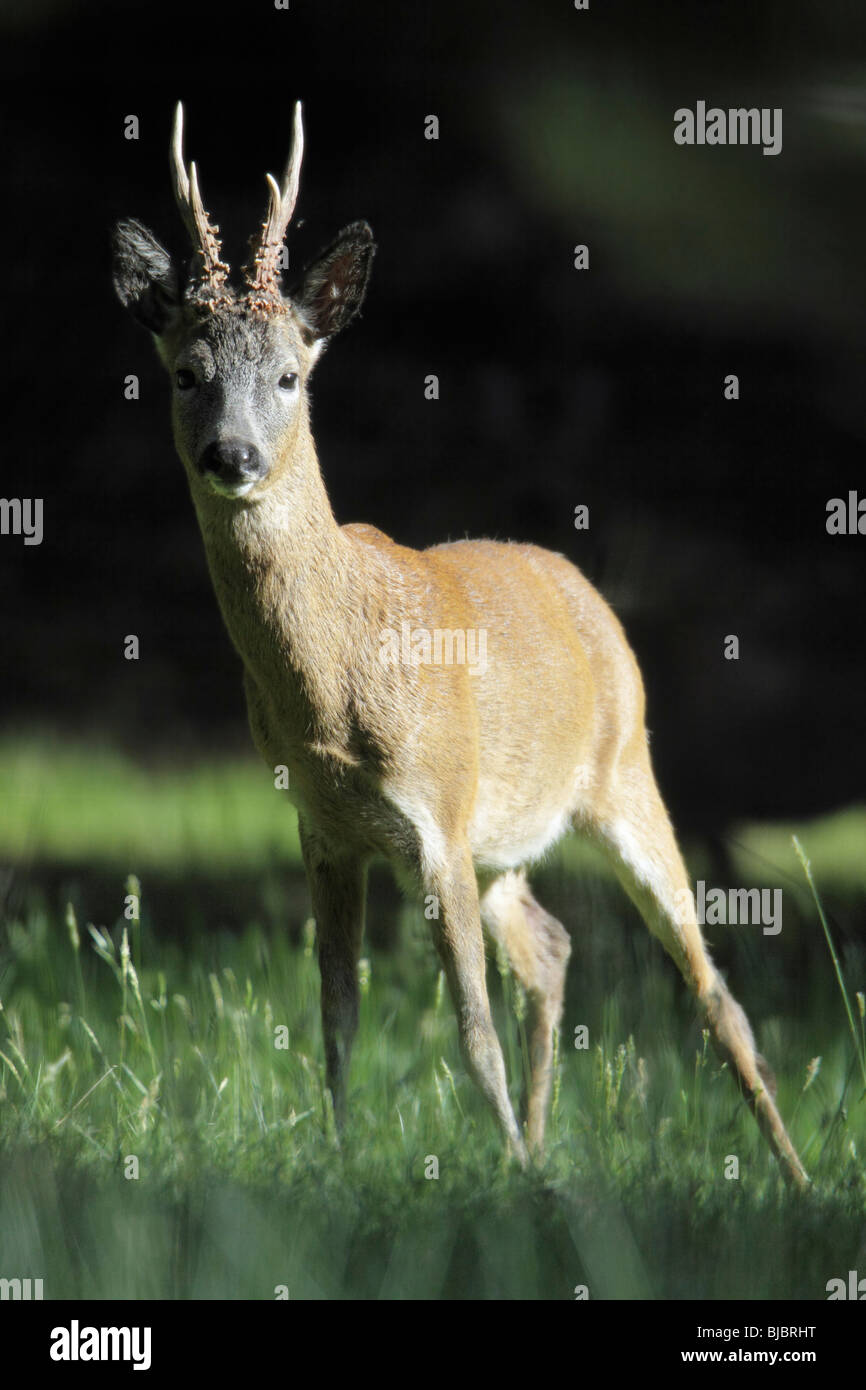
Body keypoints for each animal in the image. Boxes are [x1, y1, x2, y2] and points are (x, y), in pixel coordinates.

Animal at [112, 102, 809, 1190]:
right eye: (186, 373)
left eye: (289, 374)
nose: (234, 455)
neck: (334, 684)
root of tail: (583, 590)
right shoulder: (325, 829)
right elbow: (338, 1020)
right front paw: (344, 1166)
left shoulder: (435, 814)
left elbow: (469, 1031)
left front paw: (504, 1171)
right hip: (499, 846)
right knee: (554, 946)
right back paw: (547, 1144)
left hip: (622, 774)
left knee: (713, 991)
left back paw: (792, 1175)